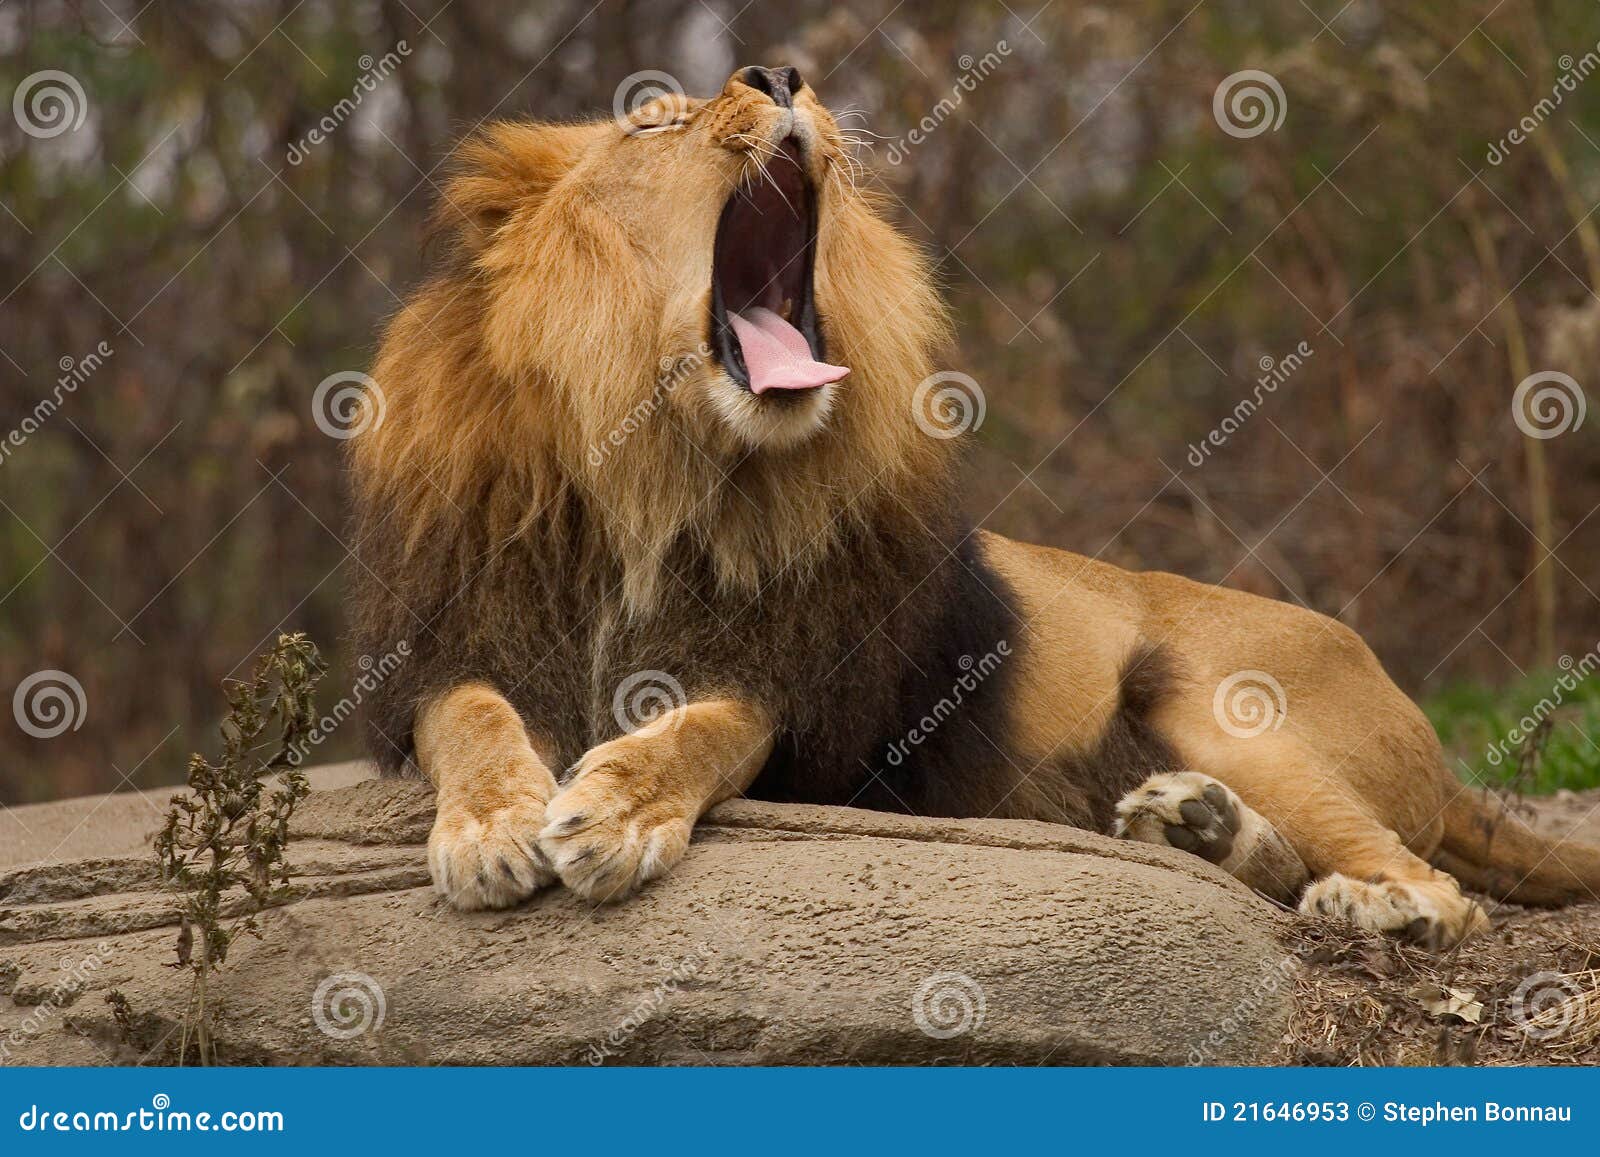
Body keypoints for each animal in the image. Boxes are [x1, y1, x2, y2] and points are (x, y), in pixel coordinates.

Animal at [347, 65, 1600, 949]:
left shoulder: (817, 694)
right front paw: (490, 826)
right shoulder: (451, 638)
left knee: (1431, 880)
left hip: (1223, 691)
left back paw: (1377, 902)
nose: (781, 75)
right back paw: (1196, 823)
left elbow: (710, 722)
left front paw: (616, 806)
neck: (653, 474)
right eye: (650, 123)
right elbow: (467, 714)